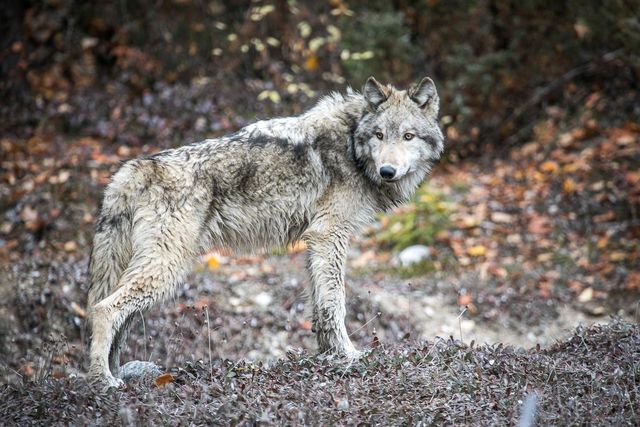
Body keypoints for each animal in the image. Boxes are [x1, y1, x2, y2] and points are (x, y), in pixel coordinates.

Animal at [87, 76, 445, 387]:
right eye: (380, 135)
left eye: (408, 136)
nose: (388, 171)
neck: (351, 142)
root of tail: (137, 166)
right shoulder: (329, 235)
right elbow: (335, 303)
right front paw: (348, 355)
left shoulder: (314, 242)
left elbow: (319, 307)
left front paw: (327, 355)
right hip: (166, 270)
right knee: (103, 309)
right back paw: (102, 380)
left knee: (117, 319)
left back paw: (117, 372)